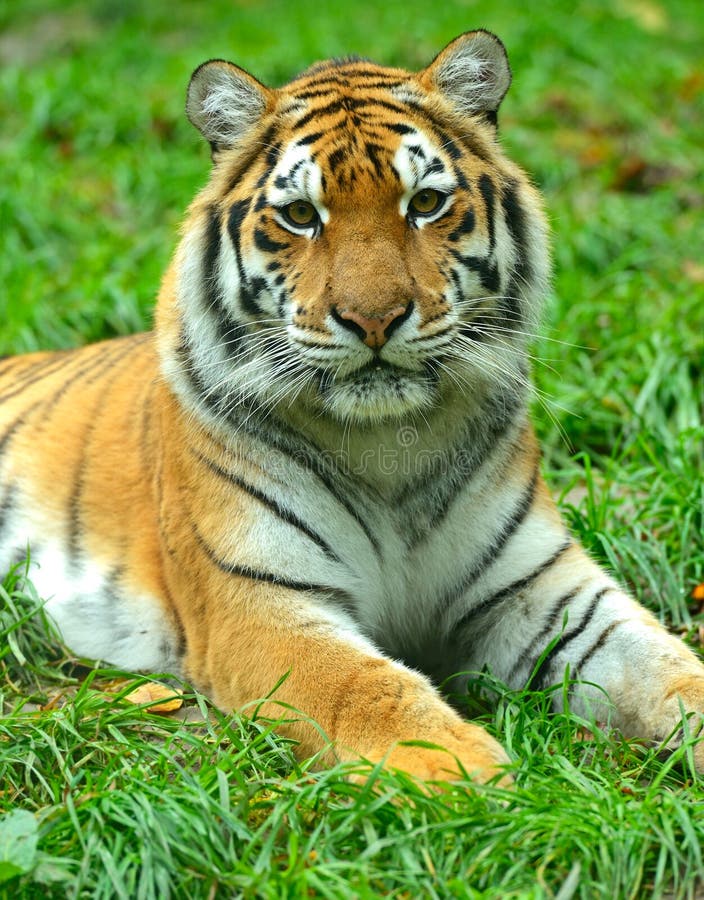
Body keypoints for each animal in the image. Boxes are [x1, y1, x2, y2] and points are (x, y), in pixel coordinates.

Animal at [1, 30, 703, 785]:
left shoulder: (538, 588)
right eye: (301, 215)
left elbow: (666, 665)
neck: (389, 444)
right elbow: (367, 690)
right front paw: (472, 779)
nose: (374, 319)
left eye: (425, 203)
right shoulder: (259, 604)